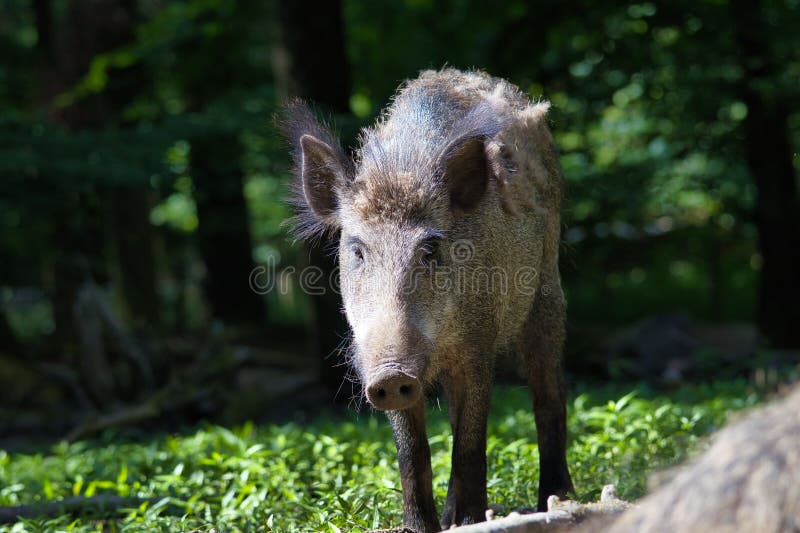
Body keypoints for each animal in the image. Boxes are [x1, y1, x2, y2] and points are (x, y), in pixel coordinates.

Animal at [281, 68, 574, 532]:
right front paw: (425, 526)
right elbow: (412, 452)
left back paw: (557, 498)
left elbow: (471, 440)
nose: (391, 373)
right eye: (357, 250)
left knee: (548, 392)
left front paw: (472, 521)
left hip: (548, 289)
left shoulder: (479, 343)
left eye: (430, 249)